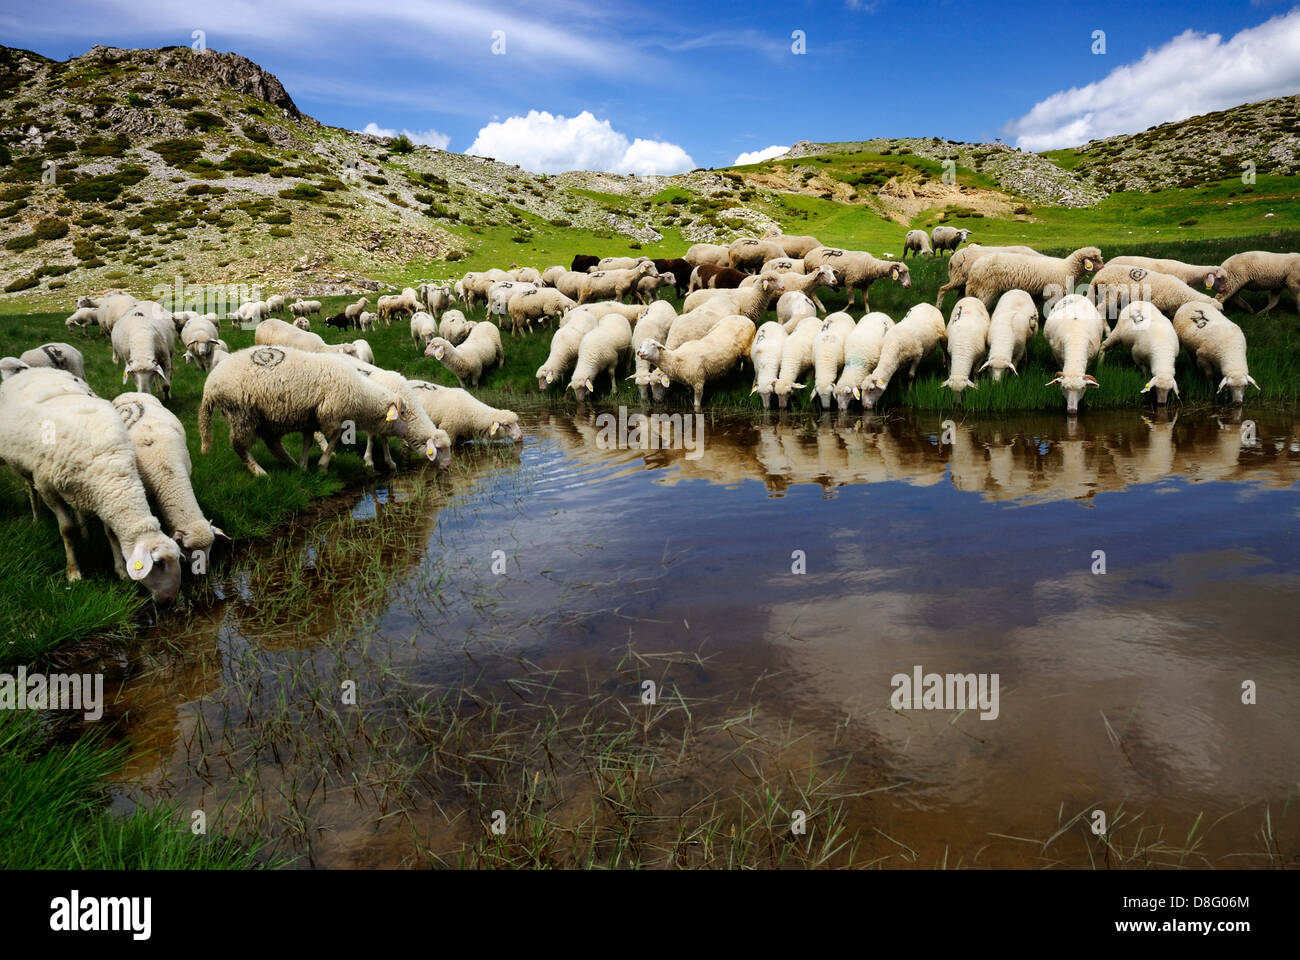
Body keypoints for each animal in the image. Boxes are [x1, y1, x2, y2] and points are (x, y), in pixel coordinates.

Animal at [0, 370, 183, 600]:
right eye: (158, 563)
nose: (171, 598)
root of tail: (31, 370)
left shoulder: (102, 494)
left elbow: (111, 534)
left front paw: (121, 570)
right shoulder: (48, 489)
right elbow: (67, 531)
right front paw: (73, 573)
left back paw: (85, 531)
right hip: (26, 469)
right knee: (30, 488)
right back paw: (36, 518)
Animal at [198, 346, 409, 476]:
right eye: (402, 413)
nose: (407, 432)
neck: (361, 396)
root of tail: (208, 386)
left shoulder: (311, 420)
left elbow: (307, 442)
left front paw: (304, 466)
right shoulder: (330, 415)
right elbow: (334, 439)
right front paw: (323, 466)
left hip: (267, 418)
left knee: (272, 444)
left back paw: (291, 465)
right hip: (241, 413)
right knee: (240, 446)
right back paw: (259, 472)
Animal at [967, 247, 1104, 309]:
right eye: (1094, 259)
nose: (1103, 267)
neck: (1067, 268)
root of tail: (975, 268)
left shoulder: (1038, 294)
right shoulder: (1054, 292)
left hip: (974, 289)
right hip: (987, 290)